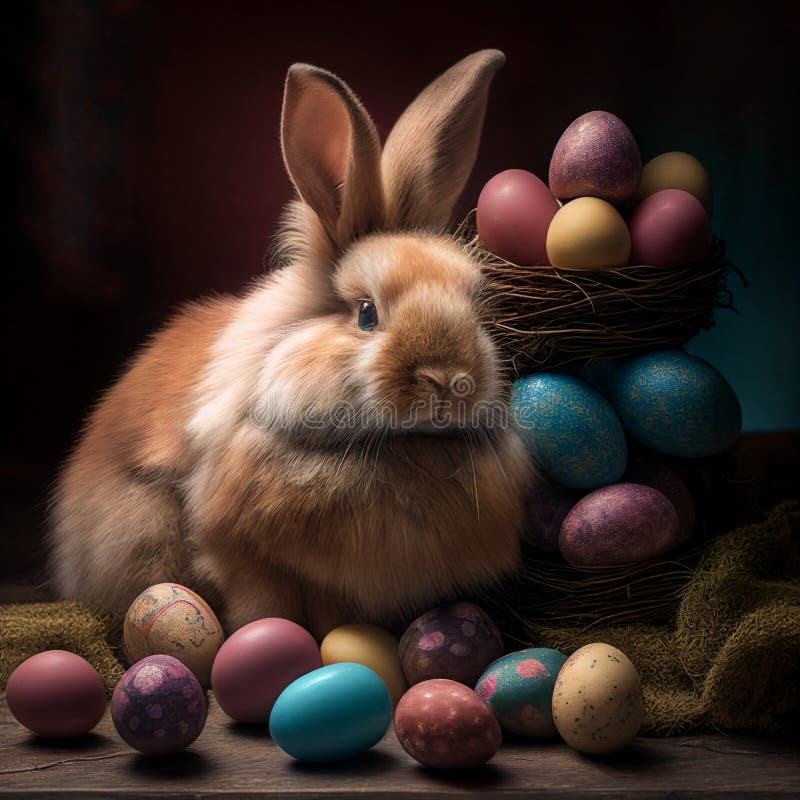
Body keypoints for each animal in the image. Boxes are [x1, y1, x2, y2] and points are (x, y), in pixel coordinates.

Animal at [47, 49, 534, 639]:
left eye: (476, 308)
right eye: (367, 315)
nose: (449, 380)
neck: (395, 448)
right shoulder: (246, 561)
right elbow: (268, 610)